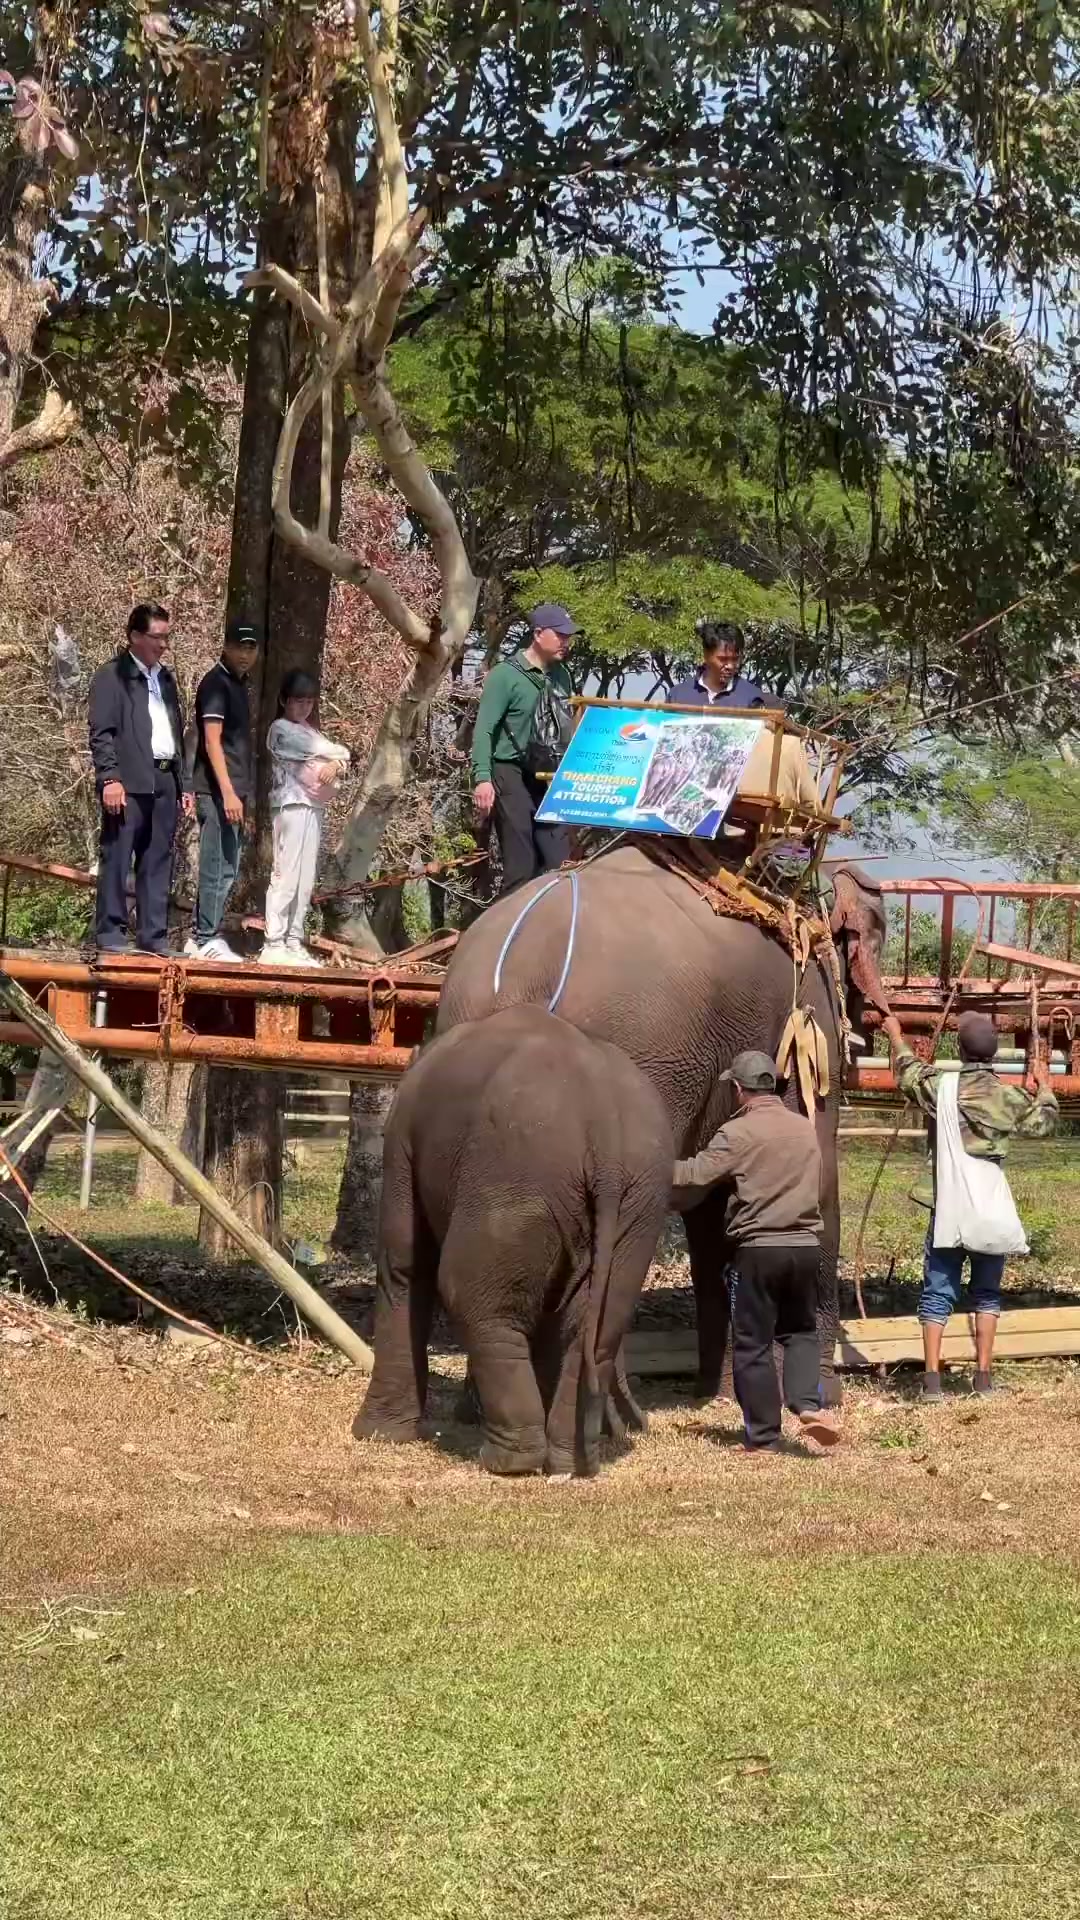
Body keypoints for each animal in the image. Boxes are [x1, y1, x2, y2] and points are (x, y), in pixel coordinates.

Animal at [355, 1006, 674, 1476]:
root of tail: (601, 1123)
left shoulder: (402, 1141)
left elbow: (404, 1265)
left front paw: (375, 1435)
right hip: (638, 1204)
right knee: (594, 1326)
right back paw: (569, 1462)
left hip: (513, 1177)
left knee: (471, 1294)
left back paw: (508, 1461)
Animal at [437, 843, 885, 1406]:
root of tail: (520, 971)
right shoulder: (808, 1022)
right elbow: (816, 1176)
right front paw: (819, 1395)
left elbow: (718, 1207)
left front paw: (720, 1393)